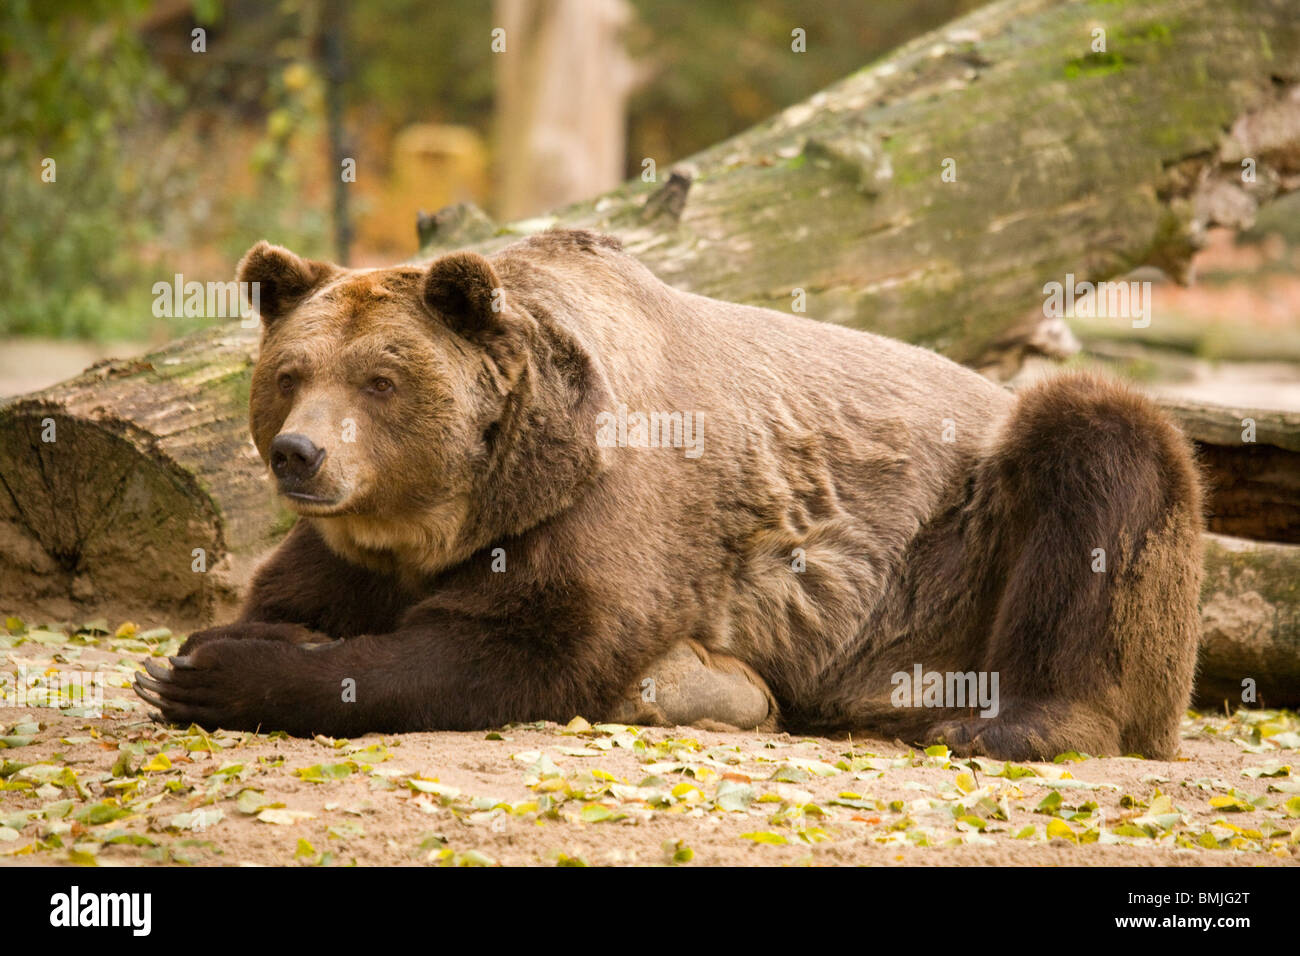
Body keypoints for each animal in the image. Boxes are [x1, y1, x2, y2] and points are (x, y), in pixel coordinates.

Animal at [134, 229, 1204, 760]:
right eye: (289, 374)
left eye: (380, 381)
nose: (301, 454)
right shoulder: (359, 545)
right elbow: (302, 590)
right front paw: (222, 643)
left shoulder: (610, 511)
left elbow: (513, 647)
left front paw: (212, 669)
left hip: (956, 556)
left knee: (1098, 450)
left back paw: (1012, 721)